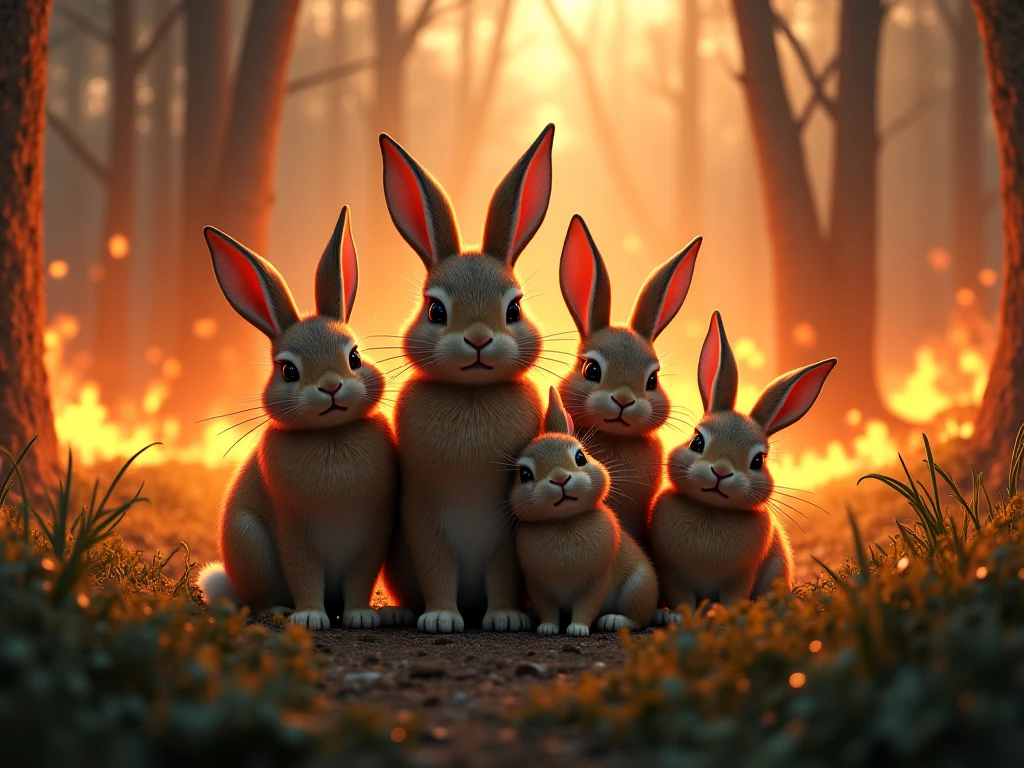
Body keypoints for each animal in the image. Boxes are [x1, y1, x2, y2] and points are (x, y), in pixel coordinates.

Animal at [196, 206, 398, 631]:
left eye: (355, 357)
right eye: (288, 371)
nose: (331, 387)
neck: (330, 435)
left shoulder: (374, 532)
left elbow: (361, 577)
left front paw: (360, 616)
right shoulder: (294, 530)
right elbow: (304, 573)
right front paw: (311, 619)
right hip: (250, 544)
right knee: (259, 596)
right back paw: (279, 611)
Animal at [377, 124, 555, 634]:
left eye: (514, 308)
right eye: (436, 310)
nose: (478, 340)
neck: (472, 395)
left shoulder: (505, 529)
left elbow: (502, 571)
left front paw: (505, 620)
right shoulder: (424, 518)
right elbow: (437, 568)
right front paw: (440, 619)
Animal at [511, 387, 659, 637]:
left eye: (580, 457)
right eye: (525, 474)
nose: (560, 479)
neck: (565, 520)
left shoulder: (595, 581)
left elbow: (586, 606)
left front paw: (577, 629)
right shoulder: (538, 585)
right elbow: (548, 609)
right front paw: (547, 628)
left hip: (637, 588)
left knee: (639, 620)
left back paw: (613, 621)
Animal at [649, 311, 836, 623]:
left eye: (758, 461)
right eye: (697, 441)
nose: (721, 472)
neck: (712, 510)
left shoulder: (741, 576)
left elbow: (734, 596)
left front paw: (730, 614)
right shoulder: (673, 573)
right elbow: (682, 598)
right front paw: (677, 617)